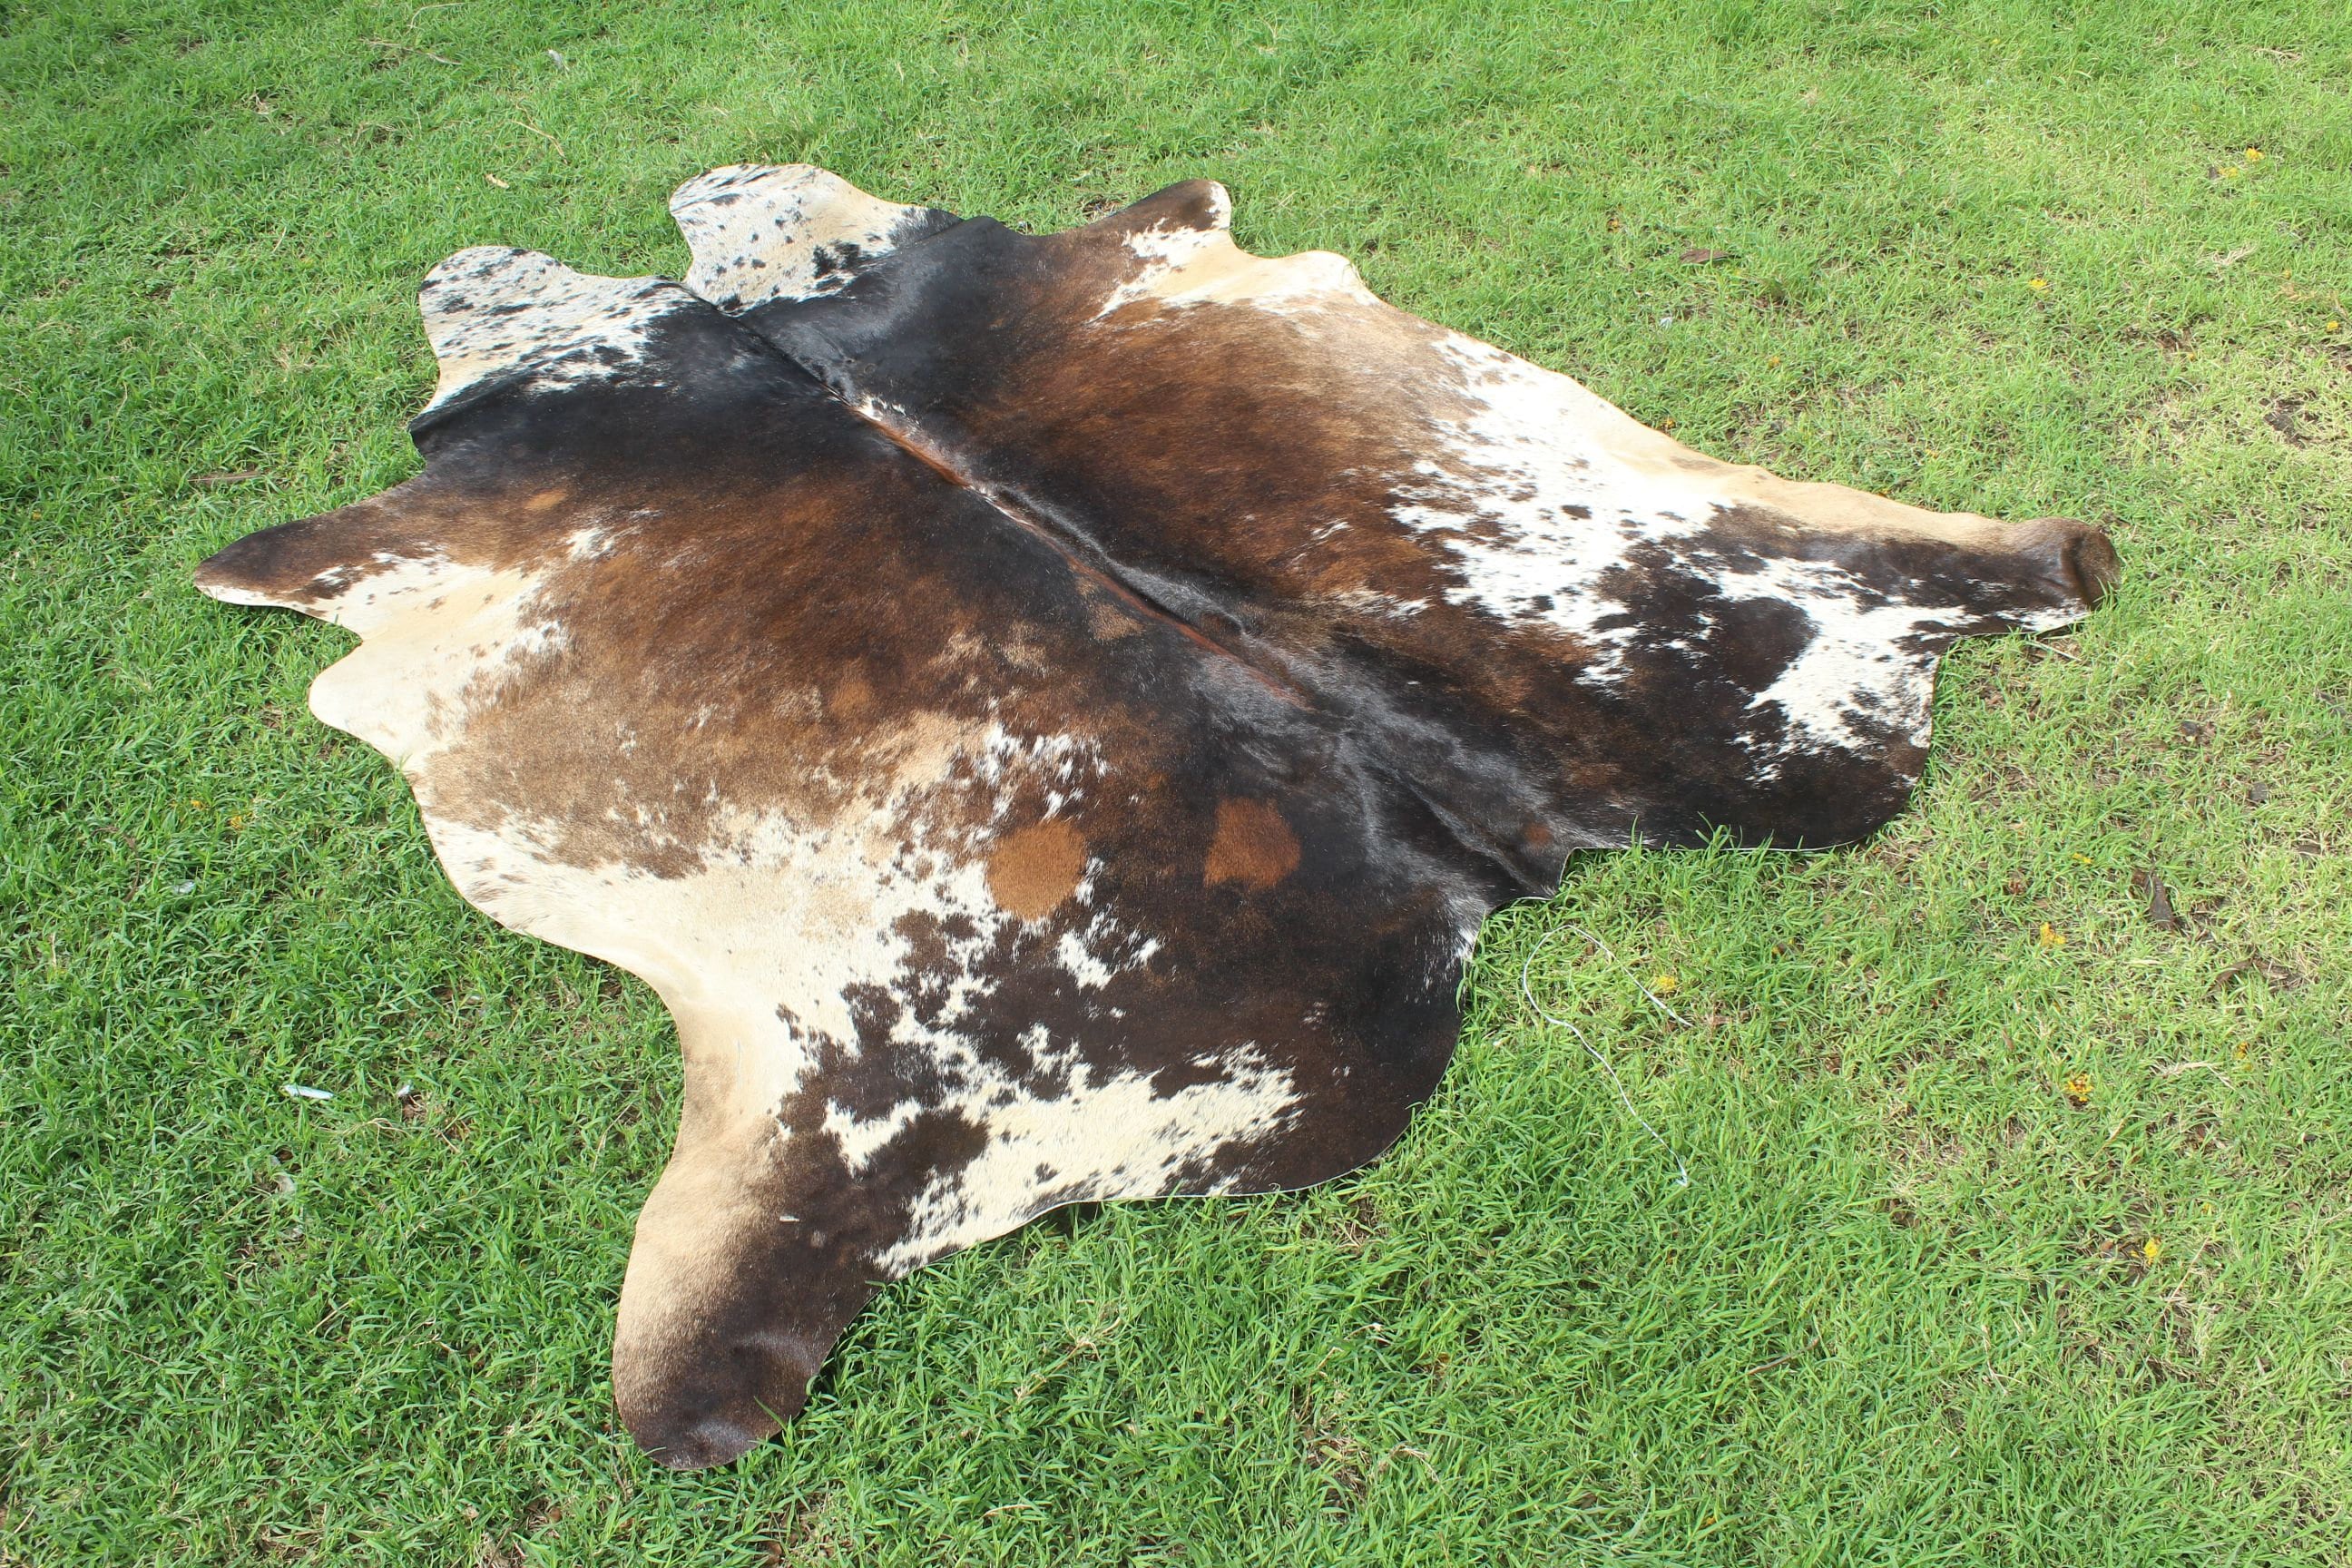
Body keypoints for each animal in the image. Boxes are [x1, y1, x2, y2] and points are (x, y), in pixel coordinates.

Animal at [195, 166, 2115, 1468]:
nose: (458, 264)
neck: (707, 325)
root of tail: (1475, 833)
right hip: (1689, 567)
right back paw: (2054, 556)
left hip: (869, 1060)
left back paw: (686, 1395)